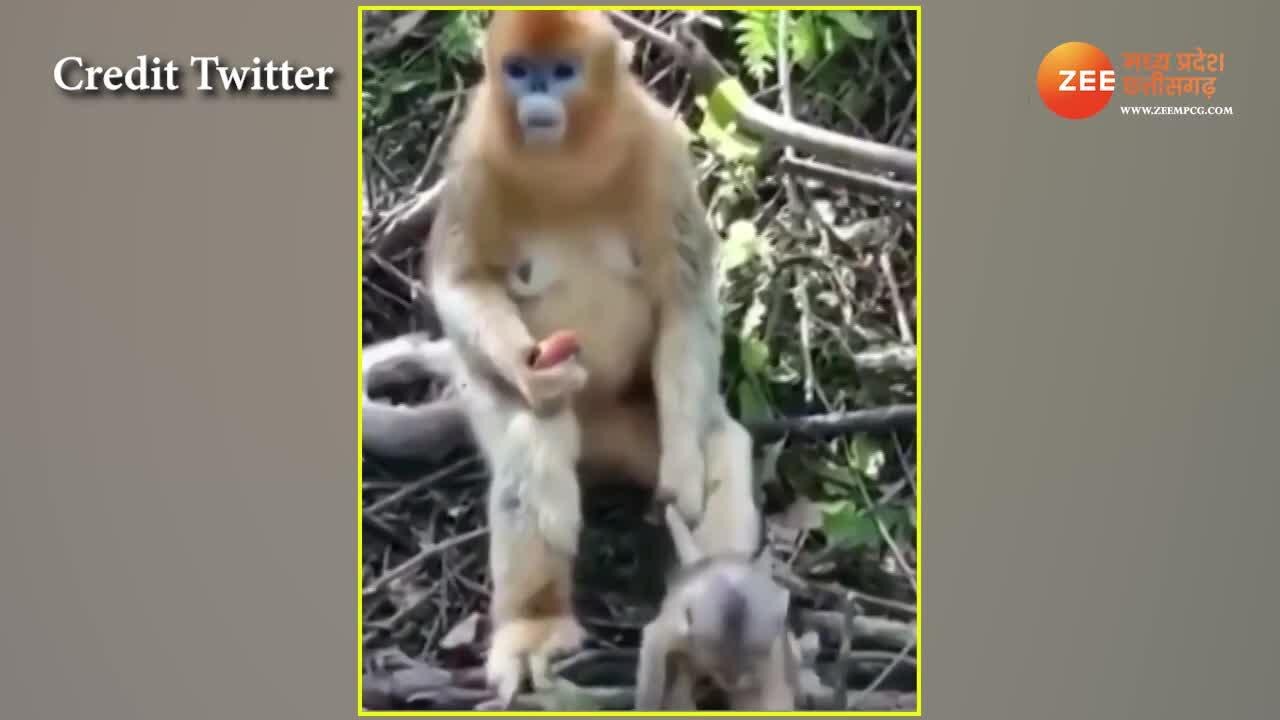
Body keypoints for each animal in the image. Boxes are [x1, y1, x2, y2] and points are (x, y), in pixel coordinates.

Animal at [423, 10, 770, 701]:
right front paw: (538, 375)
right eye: (518, 70)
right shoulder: (473, 158)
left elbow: (684, 296)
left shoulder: (660, 148)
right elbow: (460, 281)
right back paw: (535, 630)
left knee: (720, 443)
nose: (537, 98)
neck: (568, 166)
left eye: (563, 72)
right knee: (534, 442)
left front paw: (684, 474)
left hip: (640, 420)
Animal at [634, 504, 797, 711]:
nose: (731, 680)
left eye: (756, 653)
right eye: (714, 657)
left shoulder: (772, 651)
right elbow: (655, 649)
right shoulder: (675, 629)